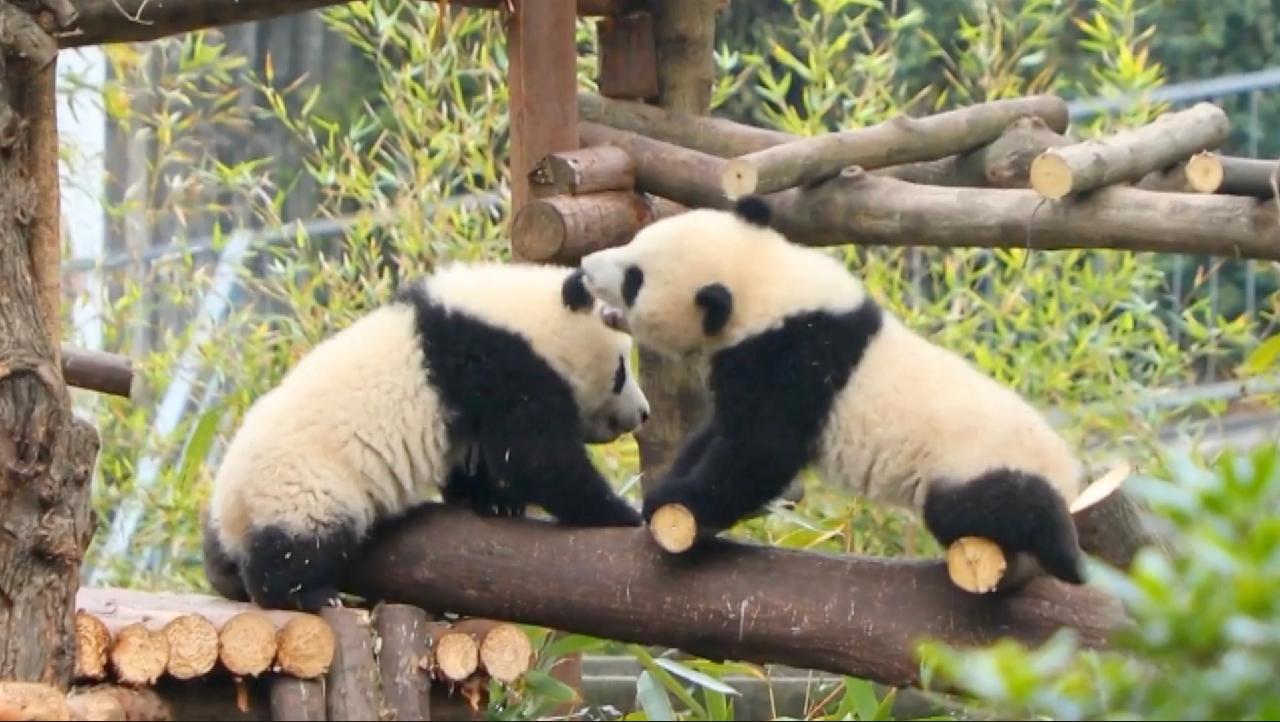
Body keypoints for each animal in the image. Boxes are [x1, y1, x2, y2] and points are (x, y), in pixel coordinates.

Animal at [202, 261, 650, 611]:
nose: (642, 414)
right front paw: (623, 512)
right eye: (620, 371)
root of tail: (231, 505)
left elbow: (482, 460)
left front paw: (494, 502)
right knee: (299, 545)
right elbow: (536, 458)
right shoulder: (500, 365)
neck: (521, 317)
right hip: (305, 482)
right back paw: (308, 595)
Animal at [576, 196, 1089, 585]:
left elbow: (760, 451)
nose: (584, 267)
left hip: (978, 464)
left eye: (634, 278)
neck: (767, 289)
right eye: (634, 241)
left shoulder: (790, 363)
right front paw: (664, 491)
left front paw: (678, 500)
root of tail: (1068, 475)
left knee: (983, 506)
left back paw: (1065, 552)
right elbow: (719, 431)